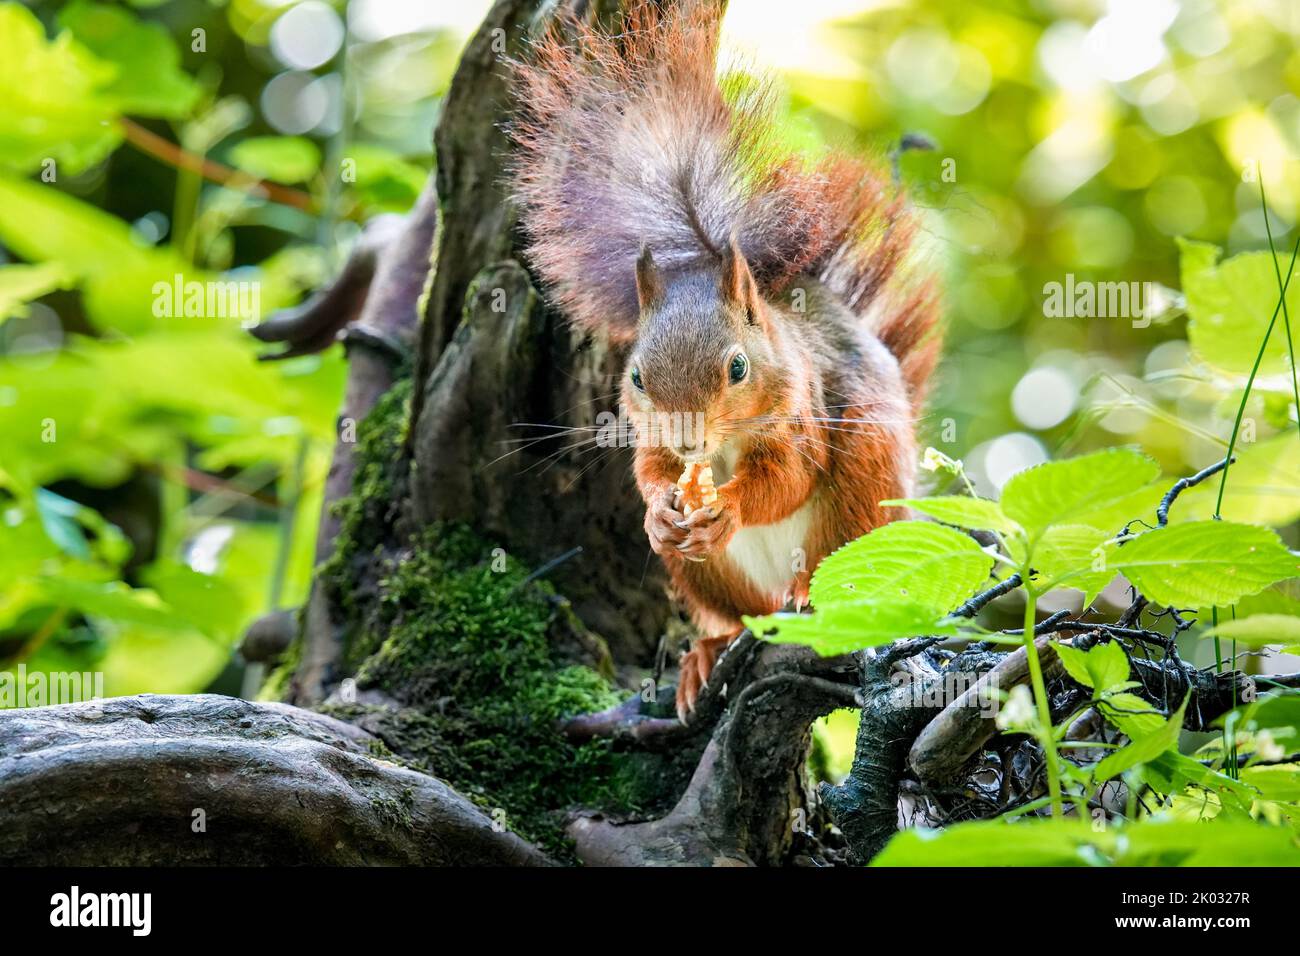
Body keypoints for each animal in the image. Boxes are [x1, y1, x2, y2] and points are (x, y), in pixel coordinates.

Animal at [509, 2, 941, 721]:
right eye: (635, 376)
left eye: (738, 368)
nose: (691, 439)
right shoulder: (651, 439)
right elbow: (650, 472)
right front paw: (659, 511)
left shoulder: (799, 417)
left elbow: (787, 478)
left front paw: (733, 505)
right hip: (707, 574)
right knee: (742, 617)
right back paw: (708, 652)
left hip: (861, 497)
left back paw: (811, 595)